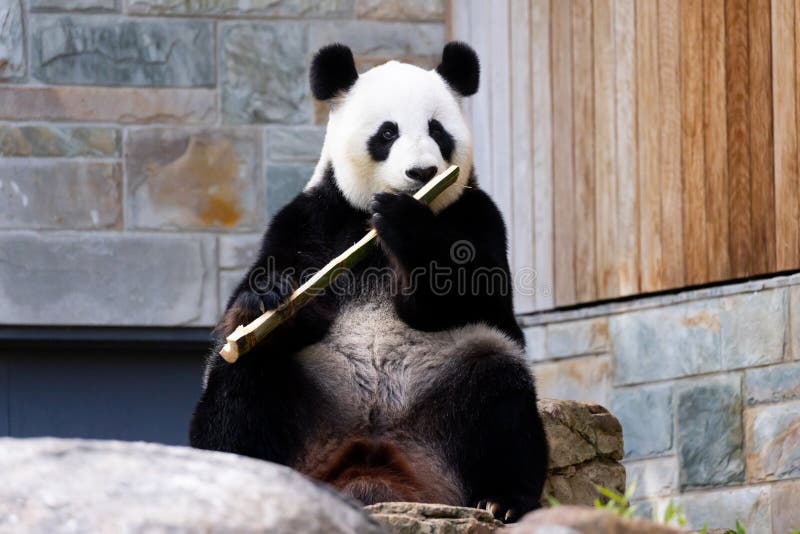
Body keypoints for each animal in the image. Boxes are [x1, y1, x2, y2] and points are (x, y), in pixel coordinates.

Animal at [189, 41, 549, 523]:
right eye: (387, 133)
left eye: (437, 130)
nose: (422, 172)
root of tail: (373, 465)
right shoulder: (312, 217)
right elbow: (275, 290)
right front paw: (270, 297)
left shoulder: (477, 213)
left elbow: (471, 294)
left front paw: (407, 225)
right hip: (304, 407)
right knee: (242, 376)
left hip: (452, 390)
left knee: (500, 390)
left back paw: (504, 499)